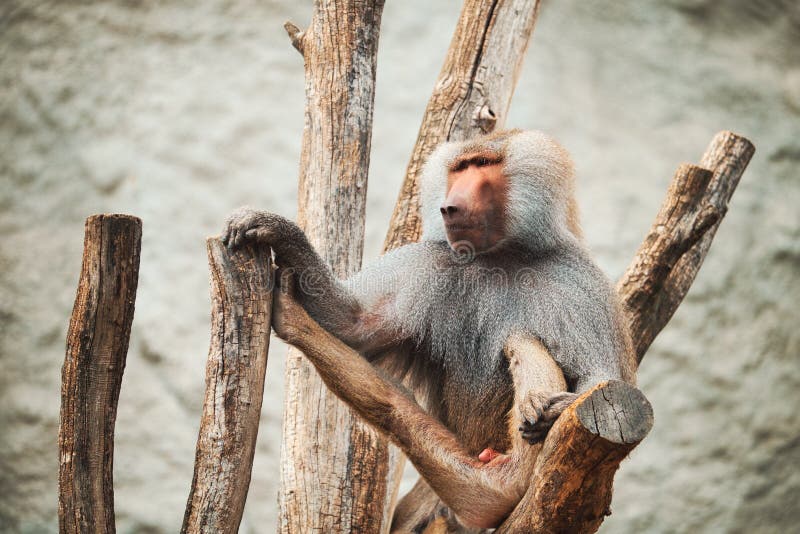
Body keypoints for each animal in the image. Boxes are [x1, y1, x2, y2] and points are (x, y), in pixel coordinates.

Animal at [222, 129, 636, 531]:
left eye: (483, 164)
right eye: (460, 167)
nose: (449, 206)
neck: (501, 255)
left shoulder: (581, 284)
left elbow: (602, 380)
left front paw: (557, 408)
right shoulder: (431, 264)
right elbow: (354, 324)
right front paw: (278, 231)